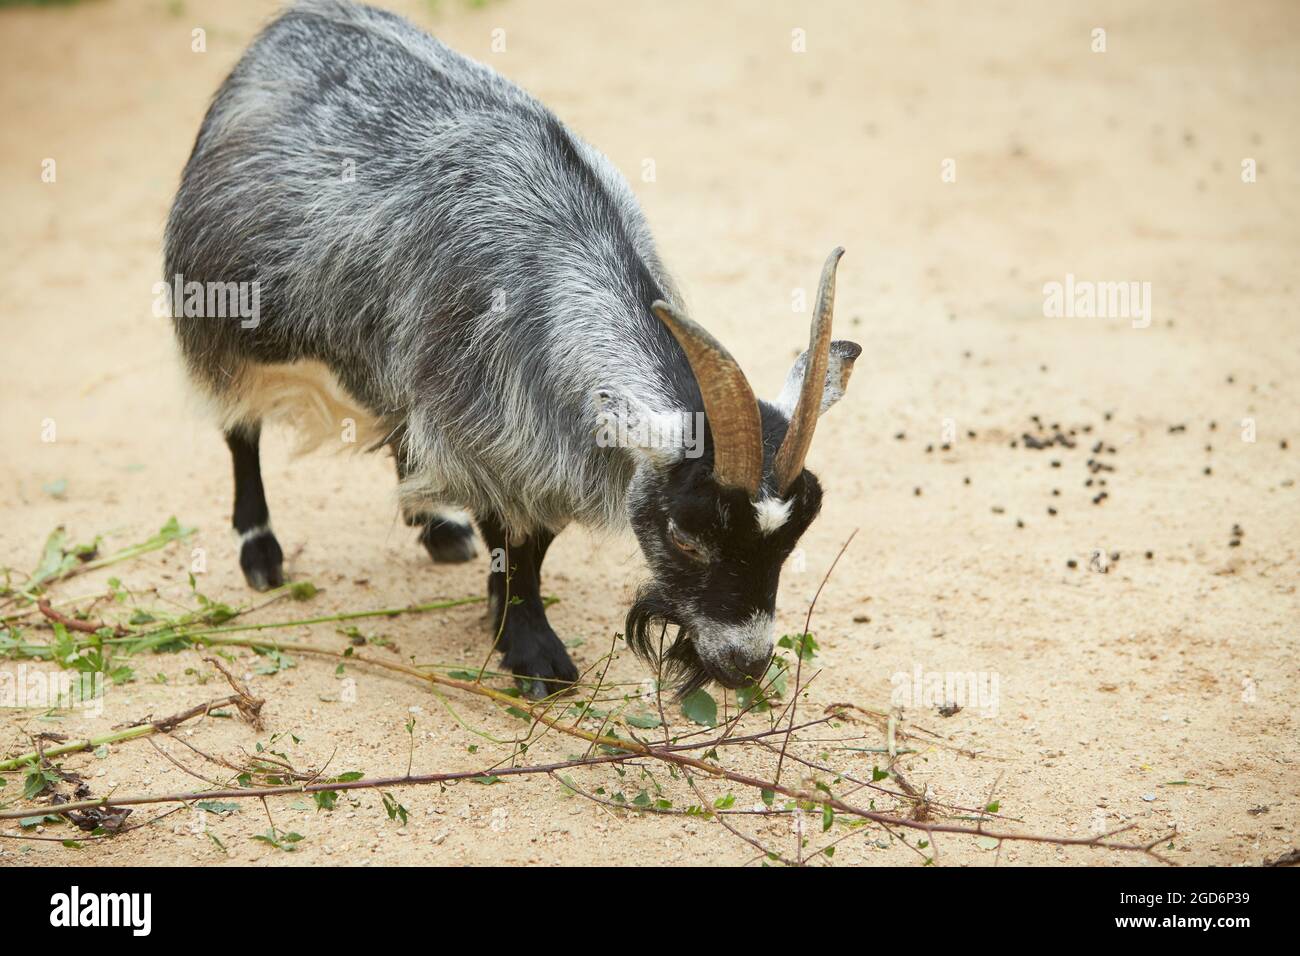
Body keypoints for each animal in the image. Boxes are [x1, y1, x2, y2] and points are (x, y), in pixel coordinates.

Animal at [165, 0, 860, 698]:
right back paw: (260, 551)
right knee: (240, 427)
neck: (557, 257)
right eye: (687, 537)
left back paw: (437, 527)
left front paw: (503, 609)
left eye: (792, 539)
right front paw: (532, 651)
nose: (744, 665)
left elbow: (537, 536)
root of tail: (286, 26)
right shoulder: (484, 422)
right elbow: (510, 530)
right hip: (229, 317)